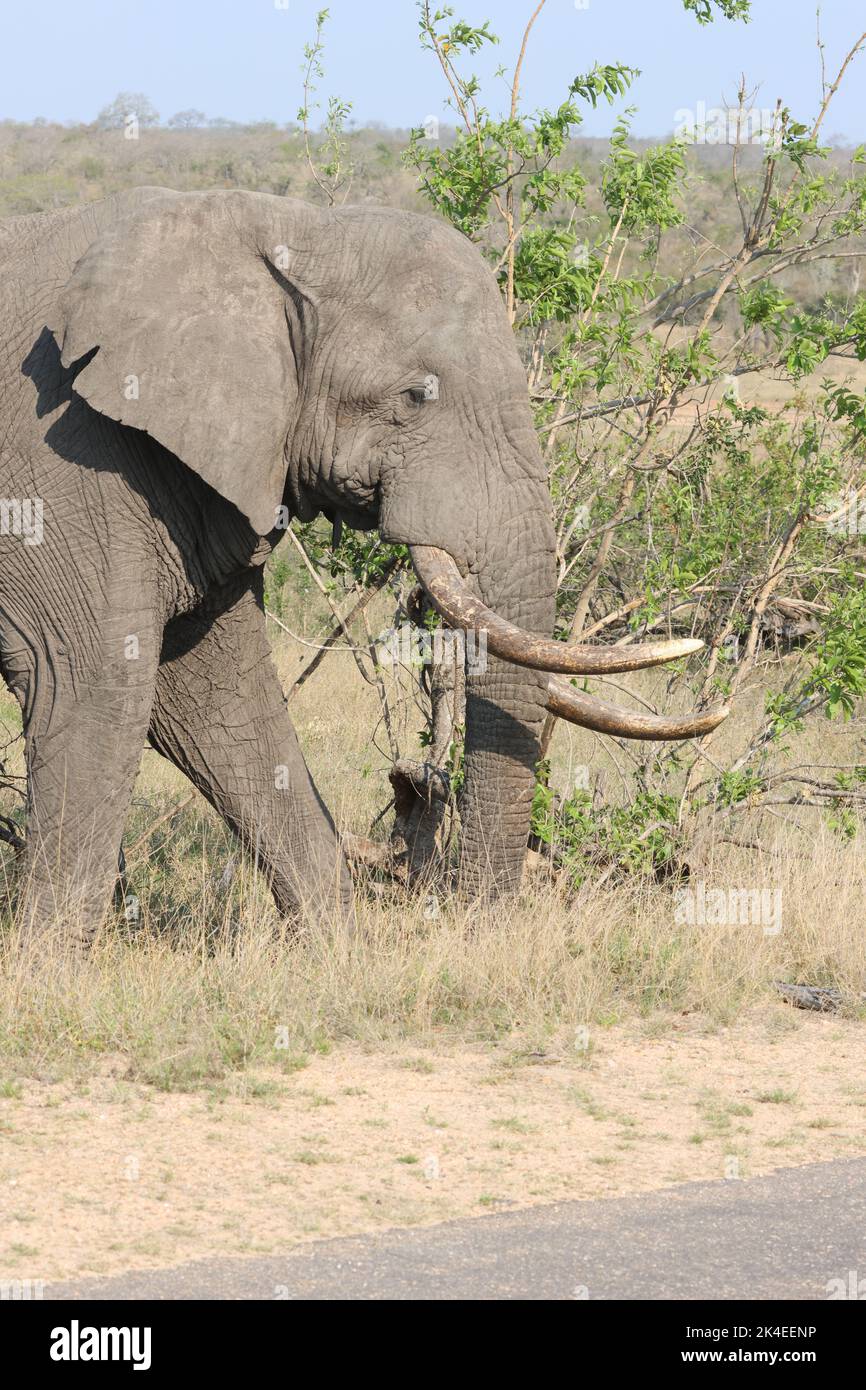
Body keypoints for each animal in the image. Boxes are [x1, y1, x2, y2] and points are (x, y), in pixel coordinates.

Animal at [0, 187, 727, 941]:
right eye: (416, 395)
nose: (473, 922)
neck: (283, 226)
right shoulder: (64, 462)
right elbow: (92, 685)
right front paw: (45, 960)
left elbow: (214, 699)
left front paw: (335, 948)